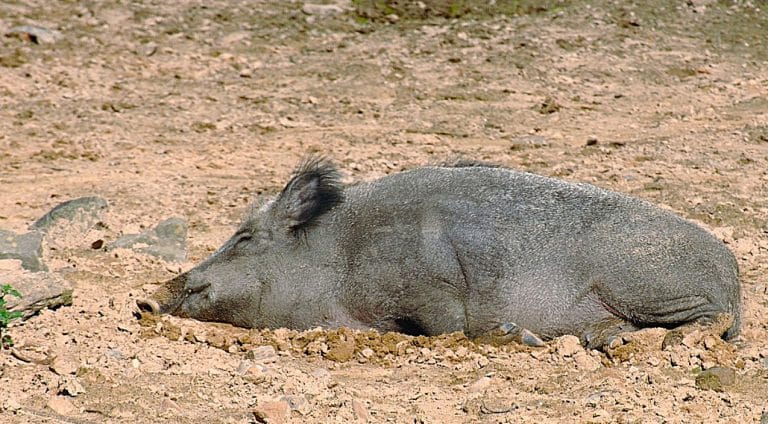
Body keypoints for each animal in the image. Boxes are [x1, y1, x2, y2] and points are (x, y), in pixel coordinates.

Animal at [137, 157, 742, 348]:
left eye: (243, 238)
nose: (146, 298)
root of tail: (732, 271)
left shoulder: (436, 287)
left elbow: (446, 327)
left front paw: (510, 334)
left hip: (641, 280)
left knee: (708, 321)